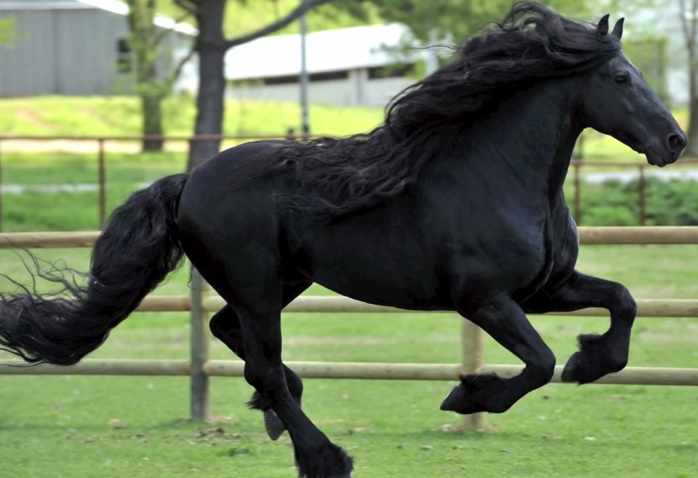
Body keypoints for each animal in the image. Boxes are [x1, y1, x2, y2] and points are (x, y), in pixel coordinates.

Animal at [0, 2, 687, 477]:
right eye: (621, 78)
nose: (675, 141)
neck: (499, 177)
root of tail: (190, 178)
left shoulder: (546, 288)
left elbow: (622, 302)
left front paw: (589, 361)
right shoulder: (485, 299)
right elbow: (539, 363)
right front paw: (466, 395)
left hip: (281, 282)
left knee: (237, 341)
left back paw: (277, 417)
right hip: (258, 286)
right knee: (263, 362)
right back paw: (323, 455)